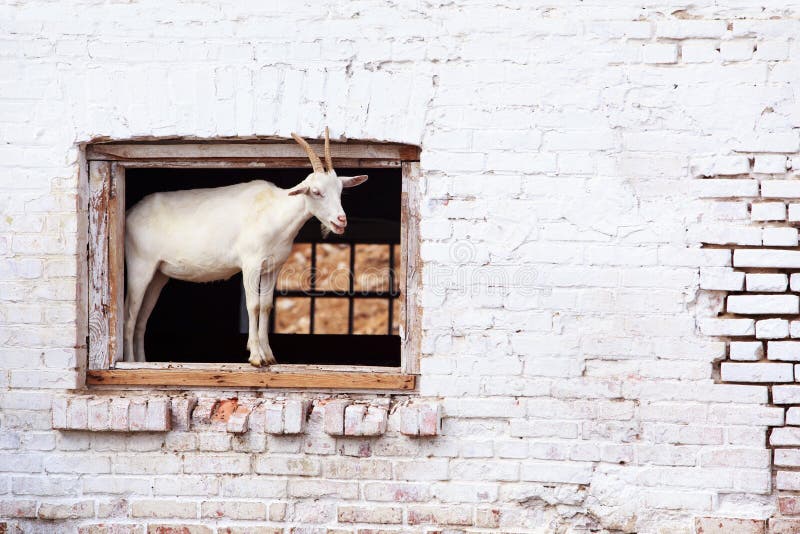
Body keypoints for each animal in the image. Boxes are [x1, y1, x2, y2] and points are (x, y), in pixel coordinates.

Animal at [123, 129, 368, 366]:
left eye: (340, 190)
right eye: (316, 191)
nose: (341, 220)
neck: (273, 211)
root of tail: (129, 215)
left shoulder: (273, 267)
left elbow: (267, 305)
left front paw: (269, 356)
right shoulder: (251, 263)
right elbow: (254, 305)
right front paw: (256, 357)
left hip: (158, 274)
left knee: (142, 318)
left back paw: (142, 362)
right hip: (140, 267)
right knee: (129, 316)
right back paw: (130, 361)